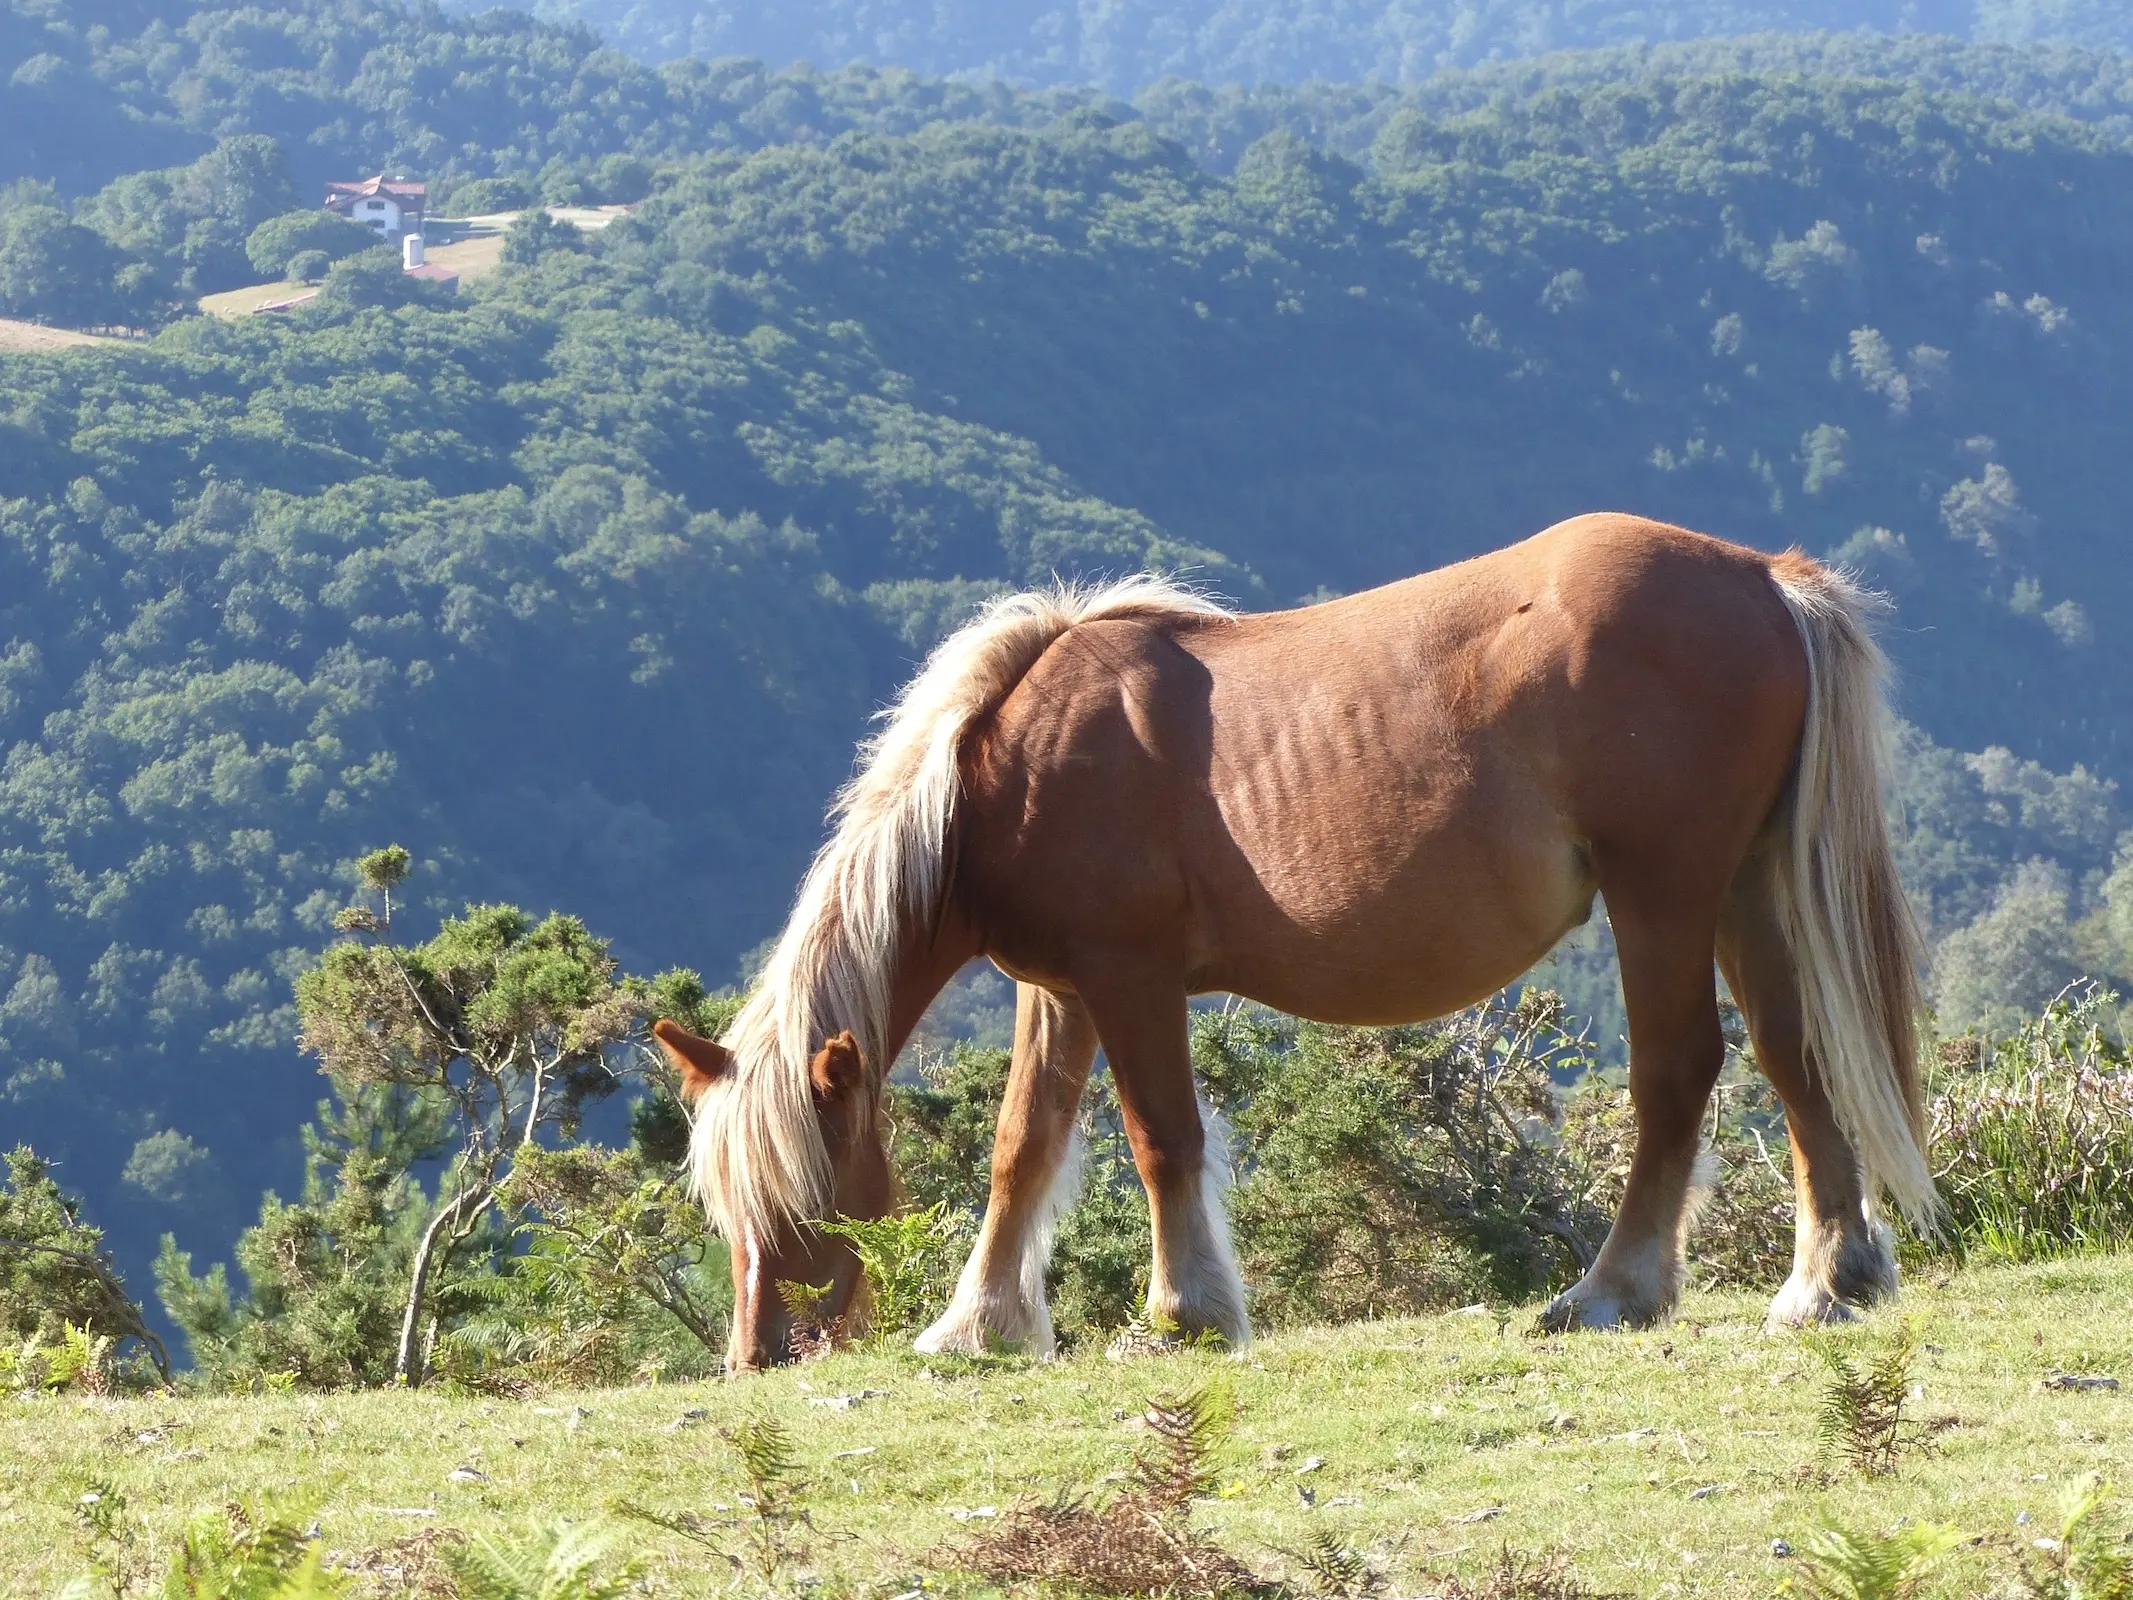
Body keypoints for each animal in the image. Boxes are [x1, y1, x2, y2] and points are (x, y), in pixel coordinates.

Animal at [651, 512, 1935, 1372]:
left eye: (804, 1192)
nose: (758, 1352)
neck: (999, 771)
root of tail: (1765, 580)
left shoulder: (1128, 974)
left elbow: (1161, 1137)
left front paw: (1186, 1312)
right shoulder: (1058, 991)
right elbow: (1025, 1148)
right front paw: (980, 1325)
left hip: (1662, 895)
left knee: (1681, 1073)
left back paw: (1615, 1289)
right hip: (1744, 890)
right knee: (1797, 1060)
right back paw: (1828, 1280)